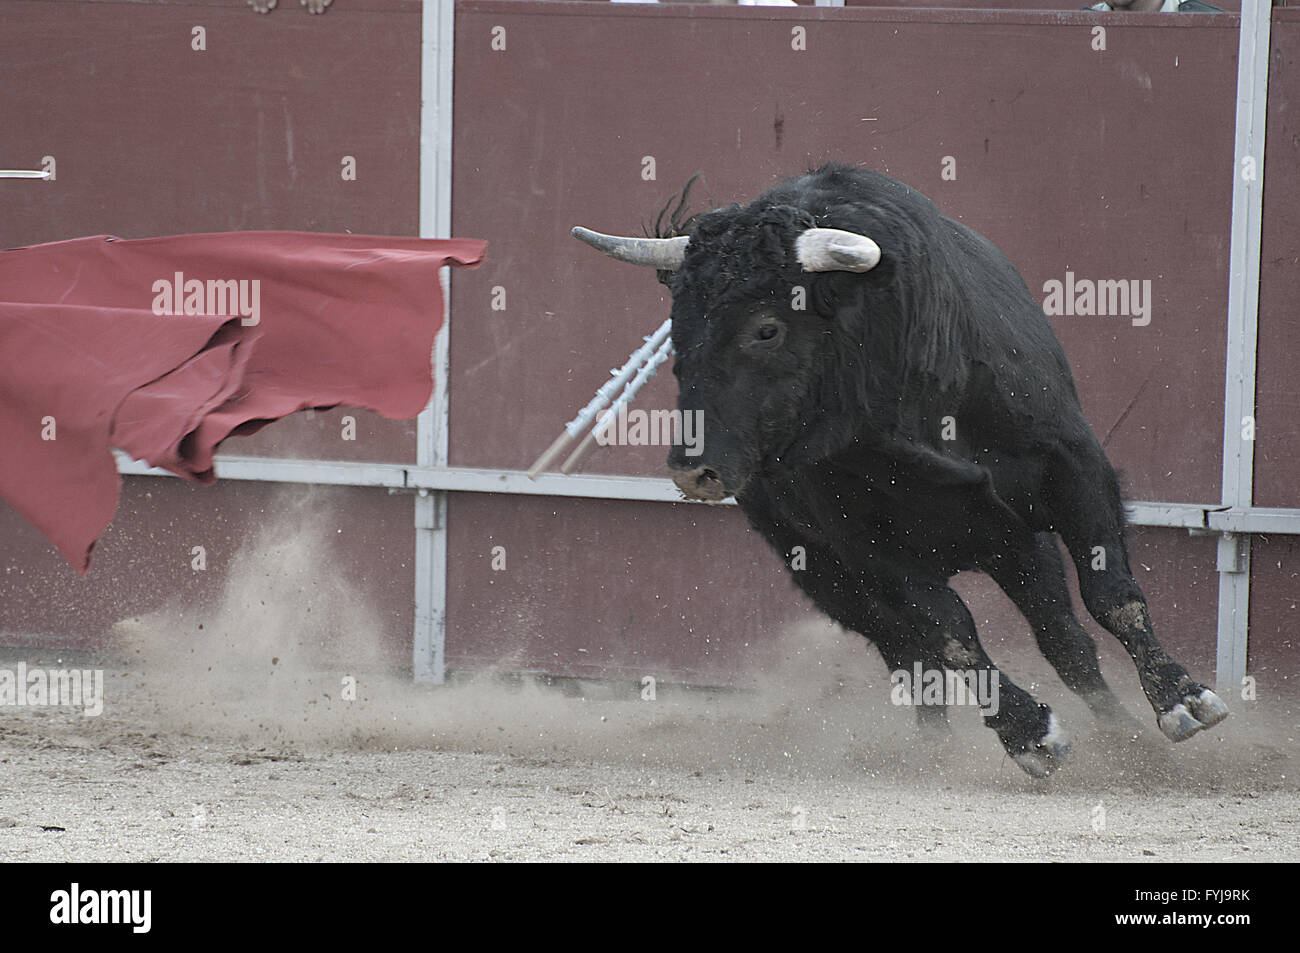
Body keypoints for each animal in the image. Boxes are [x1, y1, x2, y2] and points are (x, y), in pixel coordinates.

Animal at [572, 162, 1228, 778]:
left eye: (767, 328)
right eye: (678, 335)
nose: (692, 471)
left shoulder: (1074, 467)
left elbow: (1110, 594)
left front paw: (1182, 701)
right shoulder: (867, 547)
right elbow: (953, 636)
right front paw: (1030, 734)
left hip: (1017, 545)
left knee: (1062, 637)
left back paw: (1123, 739)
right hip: (832, 577)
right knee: (910, 658)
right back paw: (935, 753)